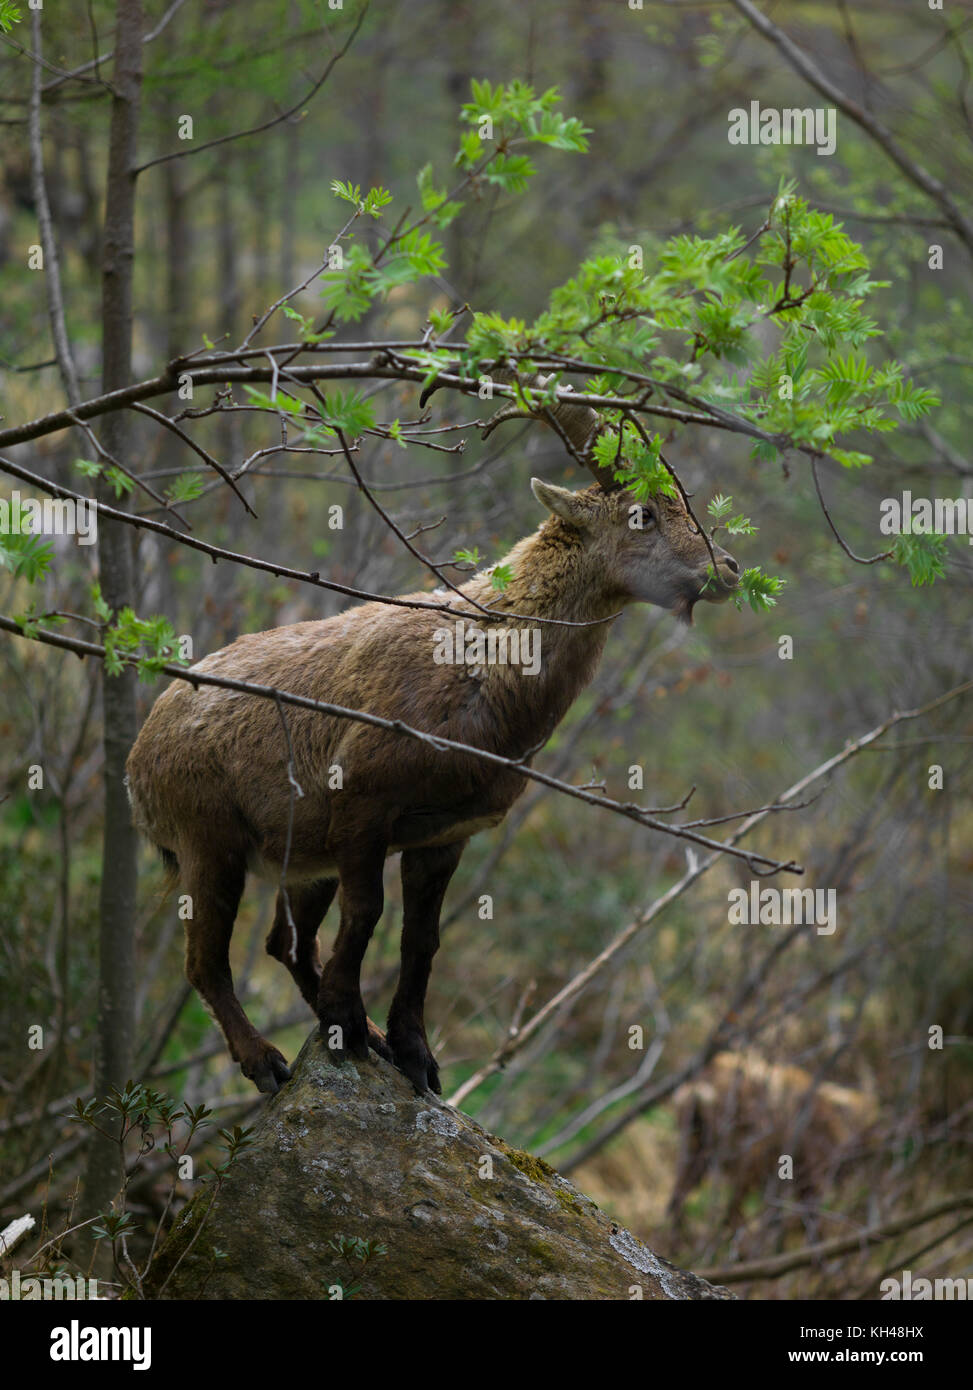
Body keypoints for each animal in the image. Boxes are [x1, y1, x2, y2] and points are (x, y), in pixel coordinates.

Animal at [126, 383, 740, 1095]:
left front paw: (412, 1053)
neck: (483, 658)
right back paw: (267, 1060)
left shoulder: (443, 835)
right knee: (205, 960)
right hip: (210, 841)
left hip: (301, 858)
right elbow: (368, 911)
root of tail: (140, 753)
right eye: (642, 513)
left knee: (286, 943)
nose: (728, 568)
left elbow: (422, 939)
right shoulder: (361, 809)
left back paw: (356, 1032)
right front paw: (348, 1024)